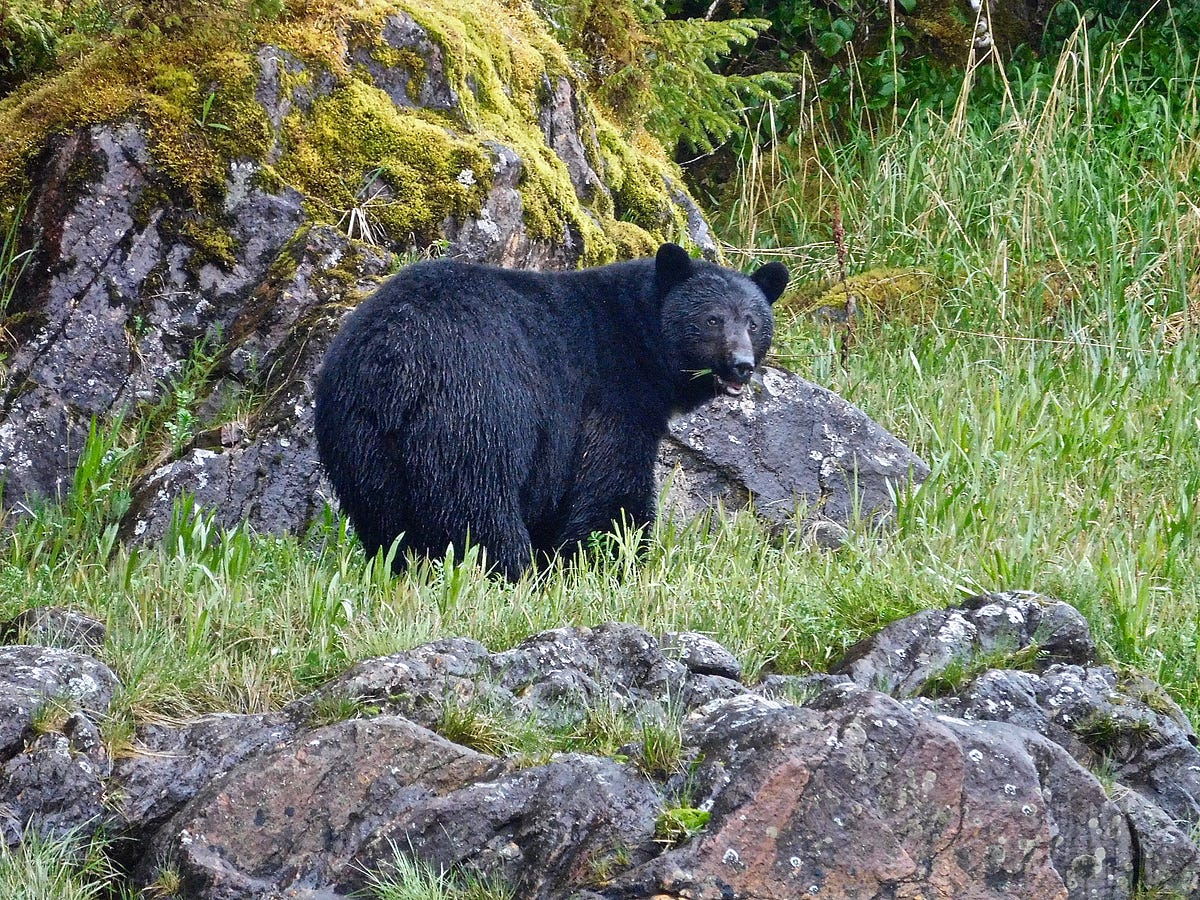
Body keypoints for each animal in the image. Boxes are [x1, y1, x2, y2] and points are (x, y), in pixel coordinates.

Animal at [314, 242, 788, 579]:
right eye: (712, 319)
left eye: (753, 322)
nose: (742, 365)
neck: (641, 341)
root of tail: (394, 357)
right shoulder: (608, 395)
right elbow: (610, 489)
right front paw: (611, 562)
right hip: (475, 412)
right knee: (477, 506)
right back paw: (511, 573)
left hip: (357, 434)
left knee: (382, 514)